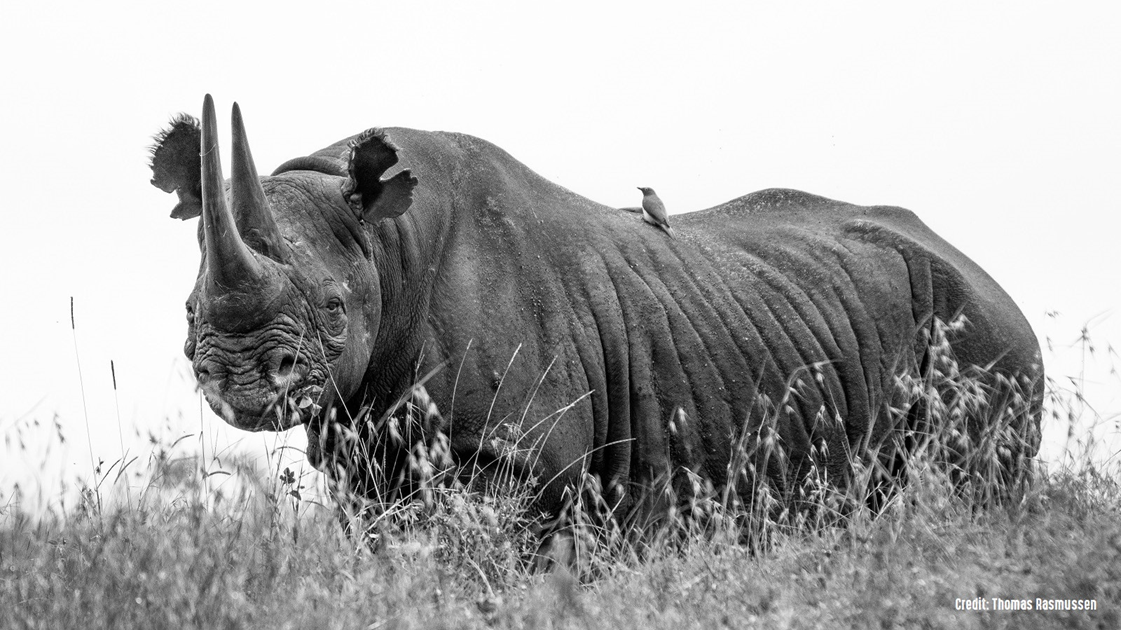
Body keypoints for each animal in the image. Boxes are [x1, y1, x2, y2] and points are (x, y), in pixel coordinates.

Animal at [150, 95, 1043, 529]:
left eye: (335, 310)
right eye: (187, 311)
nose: (238, 376)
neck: (386, 247)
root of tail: (984, 271)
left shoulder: (518, 458)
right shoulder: (366, 448)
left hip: (986, 336)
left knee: (971, 483)